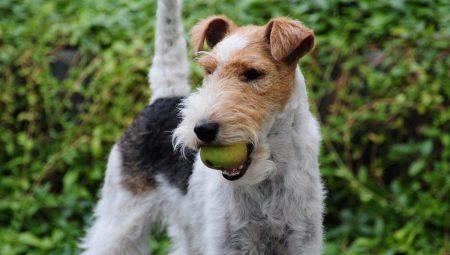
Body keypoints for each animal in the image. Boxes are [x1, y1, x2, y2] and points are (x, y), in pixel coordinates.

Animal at [80, 0, 324, 253]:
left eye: (253, 73)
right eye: (209, 70)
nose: (202, 130)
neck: (266, 179)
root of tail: (164, 97)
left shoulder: (302, 242)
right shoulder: (226, 244)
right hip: (121, 216)